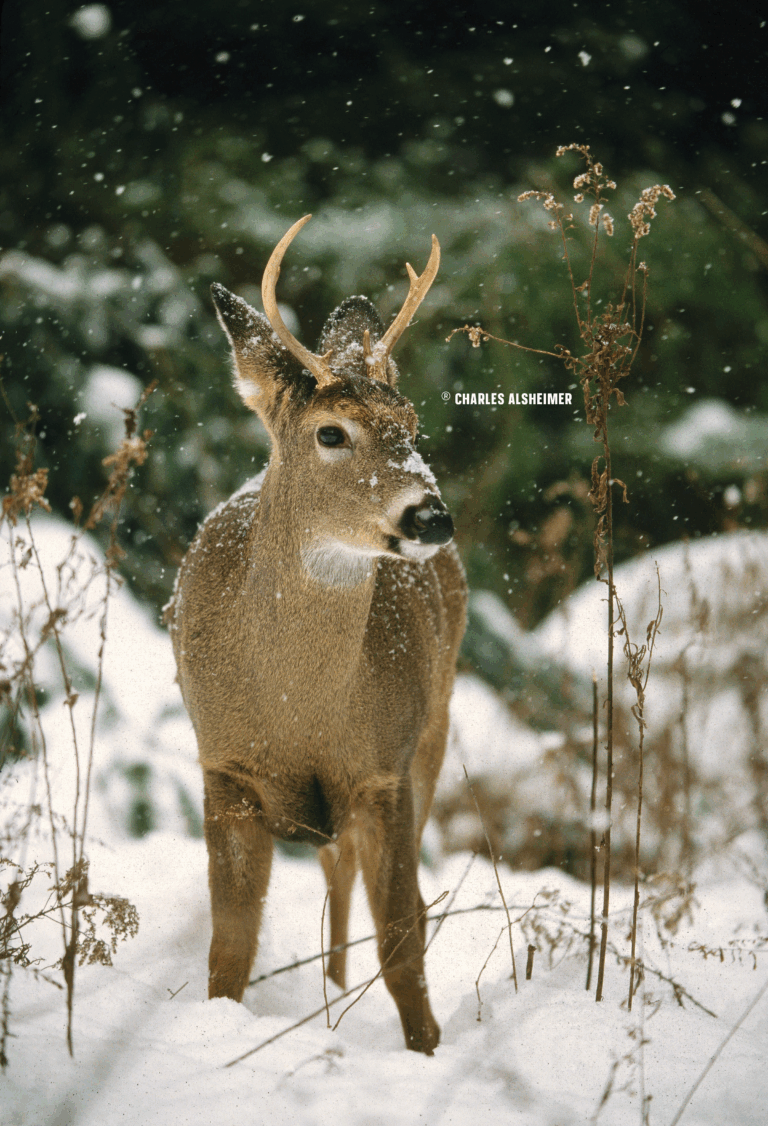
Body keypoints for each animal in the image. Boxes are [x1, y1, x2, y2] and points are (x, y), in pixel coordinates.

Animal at [166, 215, 467, 1055]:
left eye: (413, 426)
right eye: (331, 433)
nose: (430, 515)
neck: (298, 712)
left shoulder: (384, 767)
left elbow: (403, 935)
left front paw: (426, 1048)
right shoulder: (223, 765)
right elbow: (231, 943)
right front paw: (221, 1025)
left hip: (435, 727)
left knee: (357, 880)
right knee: (336, 873)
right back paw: (329, 990)